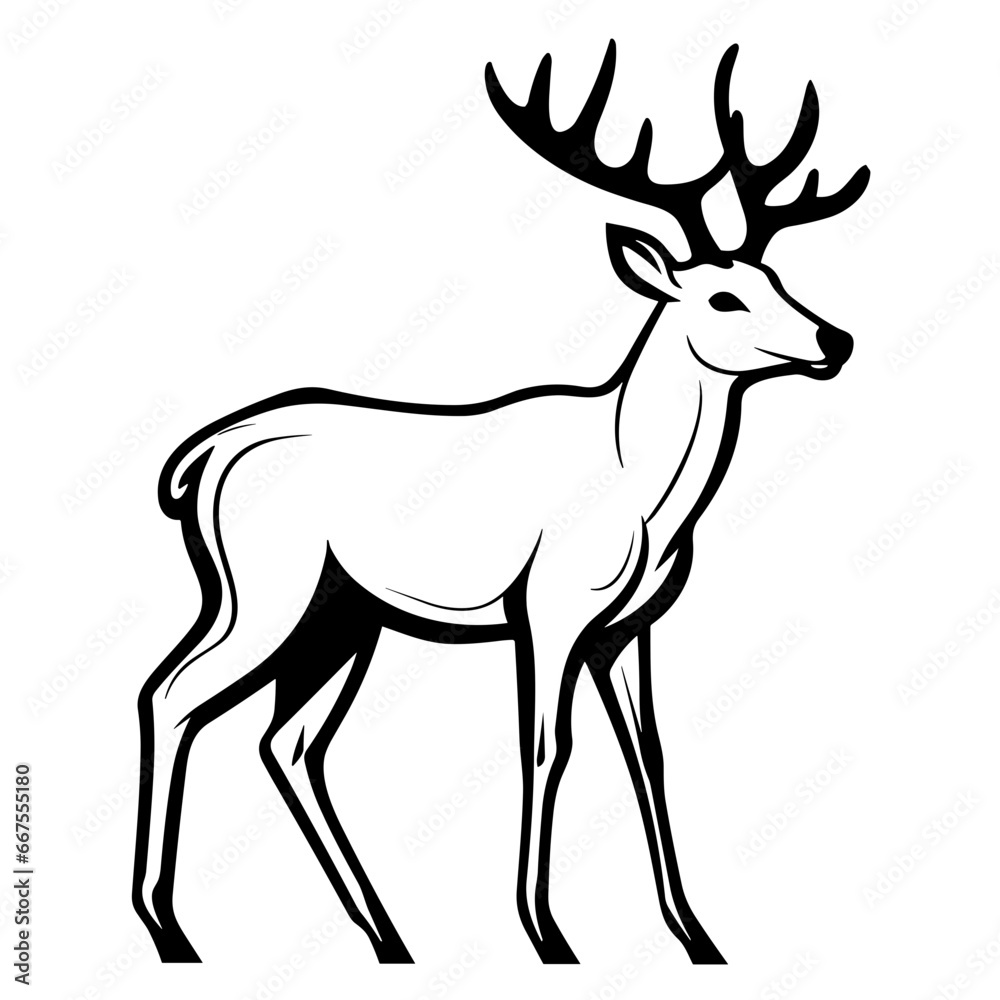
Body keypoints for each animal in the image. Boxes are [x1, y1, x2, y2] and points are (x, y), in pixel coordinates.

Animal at [133, 40, 868, 966]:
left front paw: (698, 936)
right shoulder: (549, 606)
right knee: (171, 695)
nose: (835, 340)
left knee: (287, 741)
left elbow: (650, 755)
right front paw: (549, 934)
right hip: (262, 589)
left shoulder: (630, 626)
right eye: (723, 296)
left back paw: (388, 935)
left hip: (342, 616)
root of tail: (201, 457)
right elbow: (547, 747)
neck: (642, 490)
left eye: (776, 277)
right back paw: (169, 927)